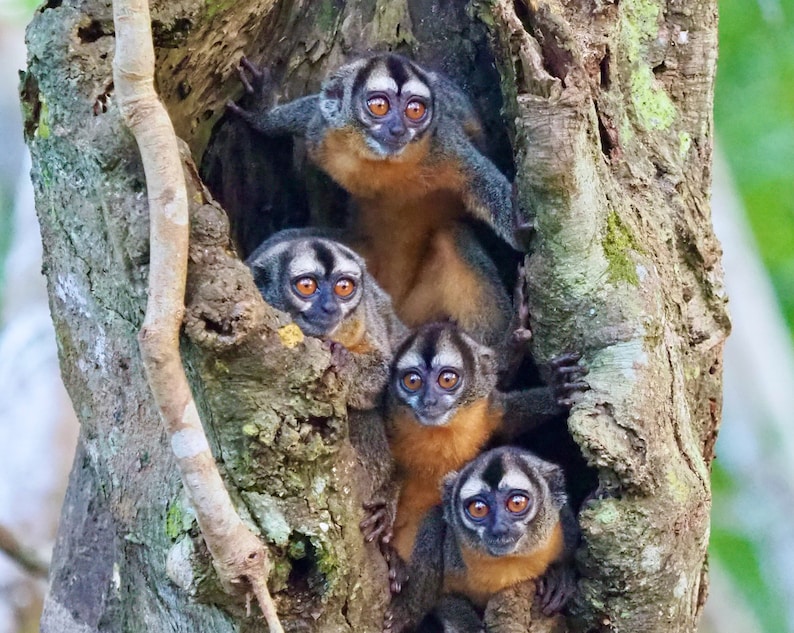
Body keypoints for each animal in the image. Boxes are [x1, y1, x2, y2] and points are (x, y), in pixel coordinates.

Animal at [227, 54, 523, 349]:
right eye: (379, 106)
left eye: (415, 110)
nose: (398, 129)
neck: (382, 163)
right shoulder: (322, 131)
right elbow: (306, 110)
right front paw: (263, 110)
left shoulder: (445, 146)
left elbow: (482, 182)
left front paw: (522, 226)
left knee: (455, 237)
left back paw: (507, 350)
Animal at [246, 229, 407, 542]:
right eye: (307, 286)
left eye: (344, 287)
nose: (330, 306)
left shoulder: (364, 318)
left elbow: (382, 375)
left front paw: (342, 359)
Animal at [384, 322, 588, 569]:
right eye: (412, 381)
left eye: (447, 379)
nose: (429, 401)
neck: (440, 429)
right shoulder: (391, 418)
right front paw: (385, 510)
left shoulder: (486, 409)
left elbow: (511, 417)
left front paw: (557, 390)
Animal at [384, 447, 578, 633]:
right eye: (478, 508)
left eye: (517, 503)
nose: (499, 528)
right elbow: (442, 599)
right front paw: (468, 626)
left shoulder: (566, 527)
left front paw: (558, 582)